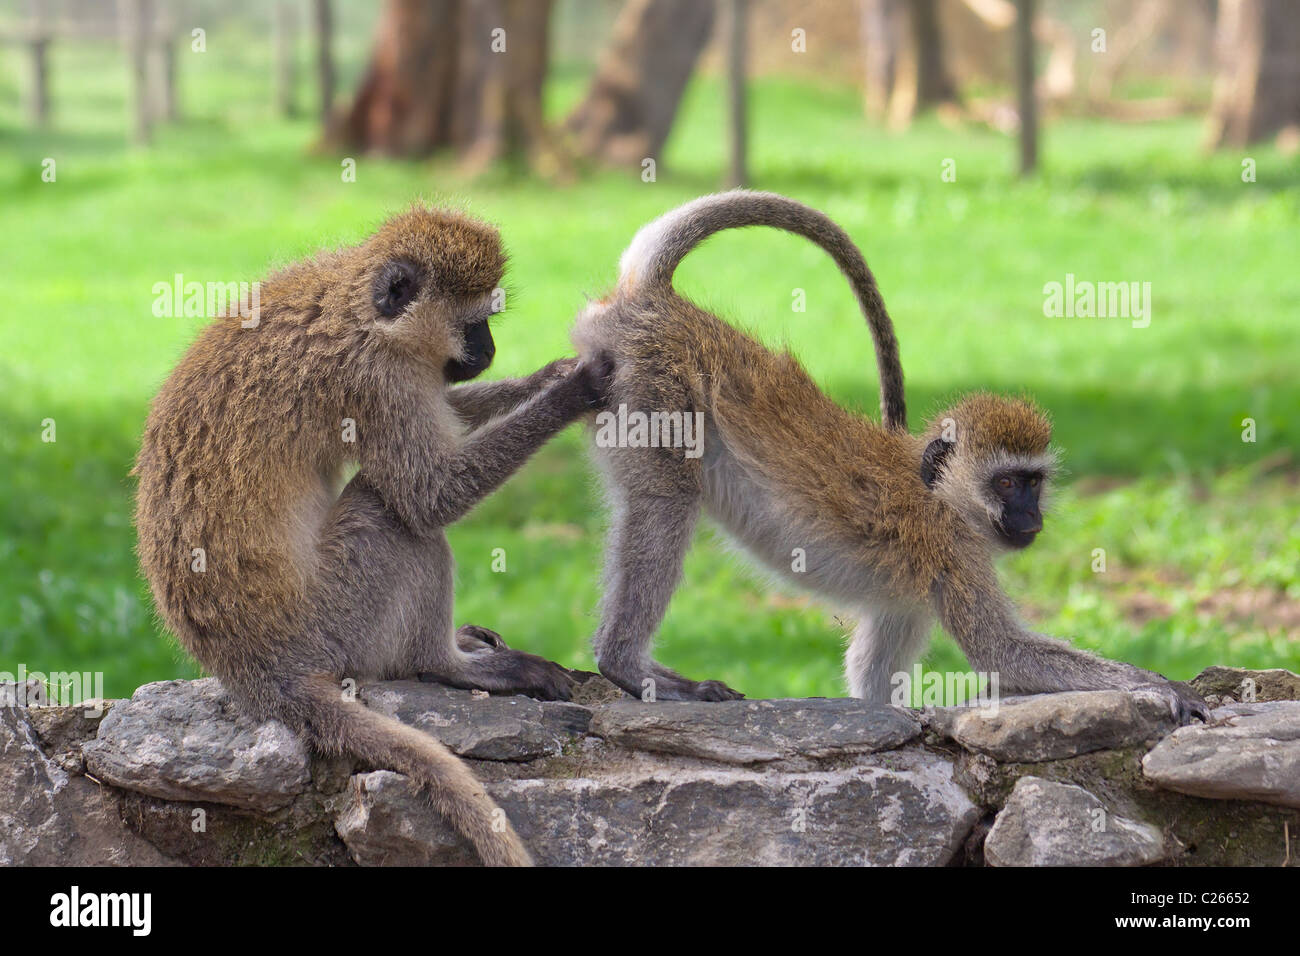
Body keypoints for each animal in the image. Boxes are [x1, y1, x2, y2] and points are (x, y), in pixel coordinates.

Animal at [135, 204, 613, 866]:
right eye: (474, 324)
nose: (489, 351)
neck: (354, 305)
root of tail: (260, 671)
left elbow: (447, 417)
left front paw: (548, 375)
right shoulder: (375, 377)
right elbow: (431, 495)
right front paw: (574, 389)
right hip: (339, 619)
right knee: (394, 517)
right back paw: (448, 664)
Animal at [571, 190, 1209, 723]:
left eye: (1033, 481)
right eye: (1006, 484)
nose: (1030, 516)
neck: (943, 497)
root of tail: (658, 303)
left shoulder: (910, 597)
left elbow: (874, 676)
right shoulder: (952, 553)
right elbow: (1005, 652)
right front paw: (1158, 686)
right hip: (655, 392)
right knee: (667, 498)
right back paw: (624, 663)